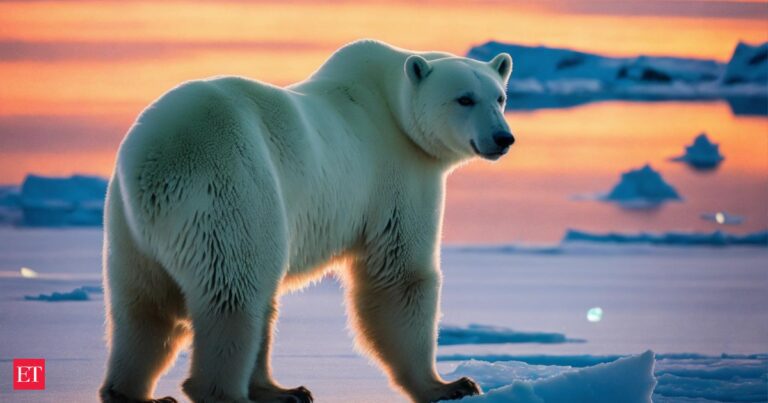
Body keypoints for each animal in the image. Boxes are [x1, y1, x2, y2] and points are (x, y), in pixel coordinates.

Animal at [99, 38, 512, 403]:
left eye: (500, 97)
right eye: (464, 98)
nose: (503, 137)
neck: (392, 106)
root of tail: (155, 165)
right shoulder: (396, 174)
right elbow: (400, 275)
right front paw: (449, 385)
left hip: (126, 228)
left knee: (143, 309)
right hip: (230, 189)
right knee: (234, 294)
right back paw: (228, 392)